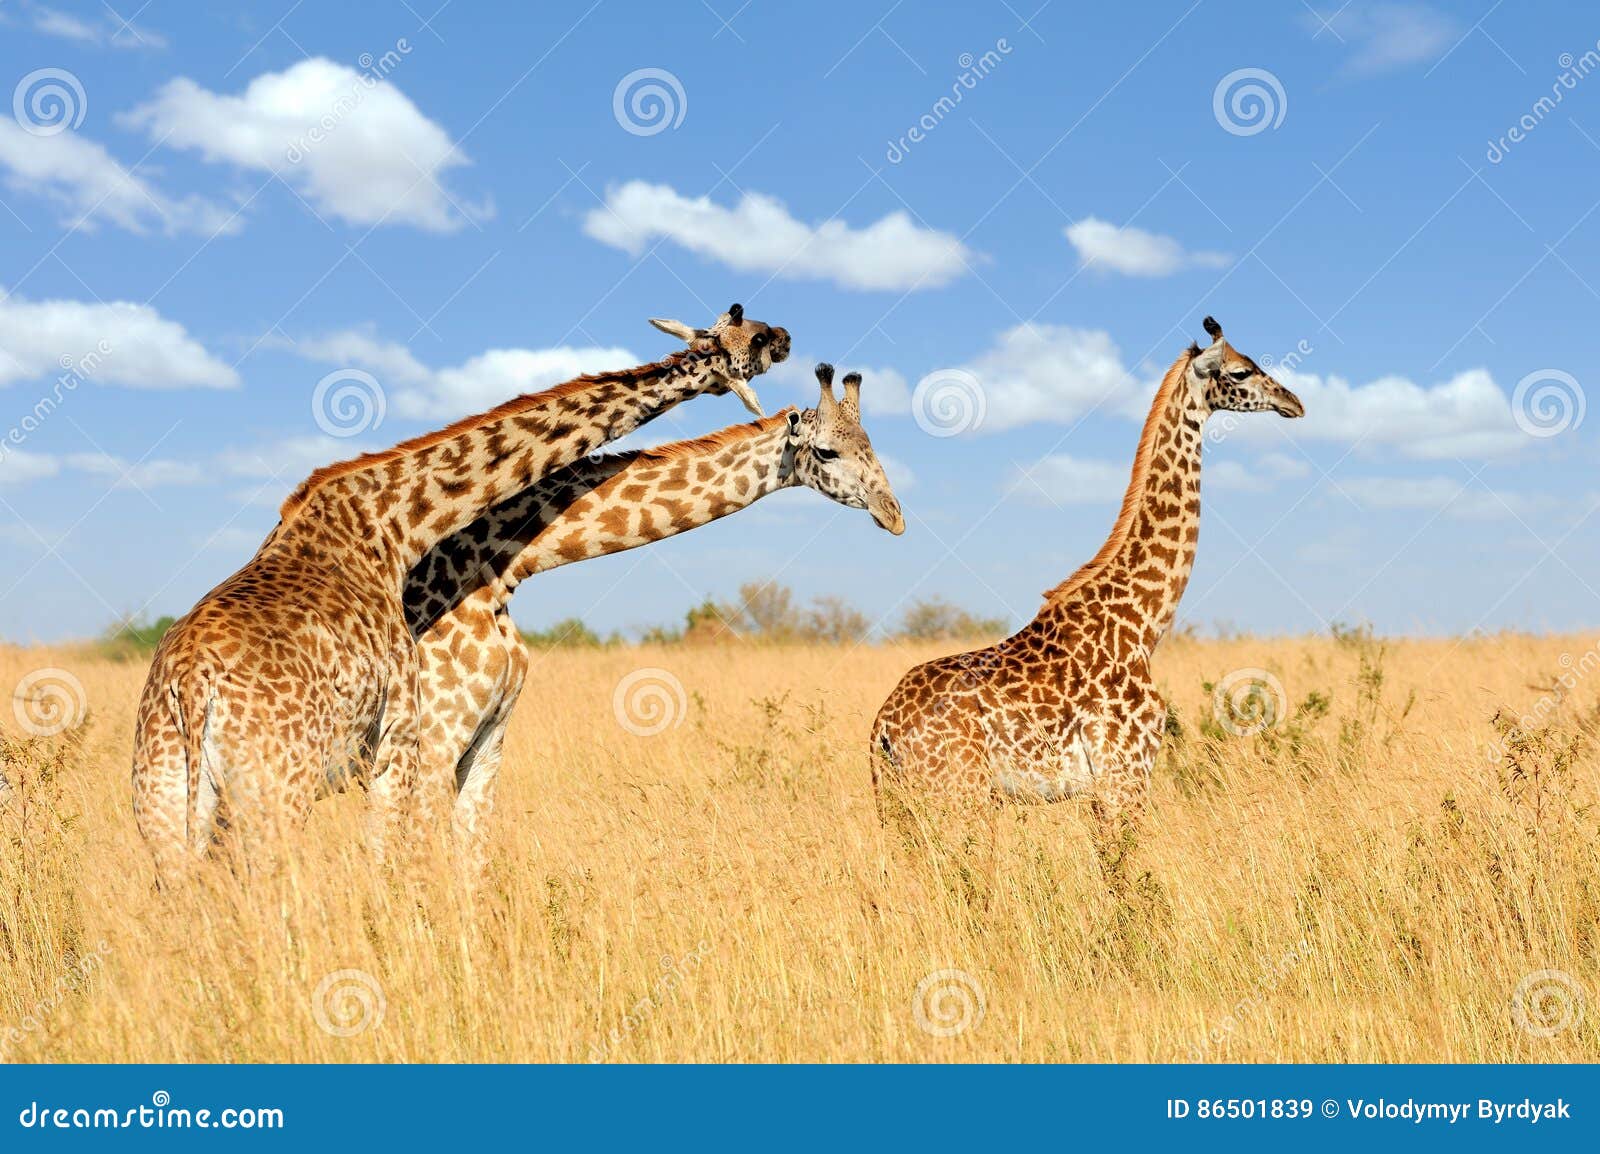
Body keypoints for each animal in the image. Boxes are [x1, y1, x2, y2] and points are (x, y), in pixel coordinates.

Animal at [130, 304, 789, 880]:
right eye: (750, 333)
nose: (785, 336)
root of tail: (190, 683)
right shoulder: (415, 739)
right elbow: (403, 866)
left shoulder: (481, 739)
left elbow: (464, 861)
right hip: (275, 789)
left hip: (165, 799)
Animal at [405, 363, 904, 869]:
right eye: (825, 451)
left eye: (870, 444)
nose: (894, 515)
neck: (490, 571)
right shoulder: (433, 742)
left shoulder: (488, 739)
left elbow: (470, 863)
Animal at [870, 317, 1303, 819]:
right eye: (1240, 371)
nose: (1294, 402)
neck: (1143, 622)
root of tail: (881, 728)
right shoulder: (1125, 772)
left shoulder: (1106, 787)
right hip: (958, 793)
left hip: (906, 804)